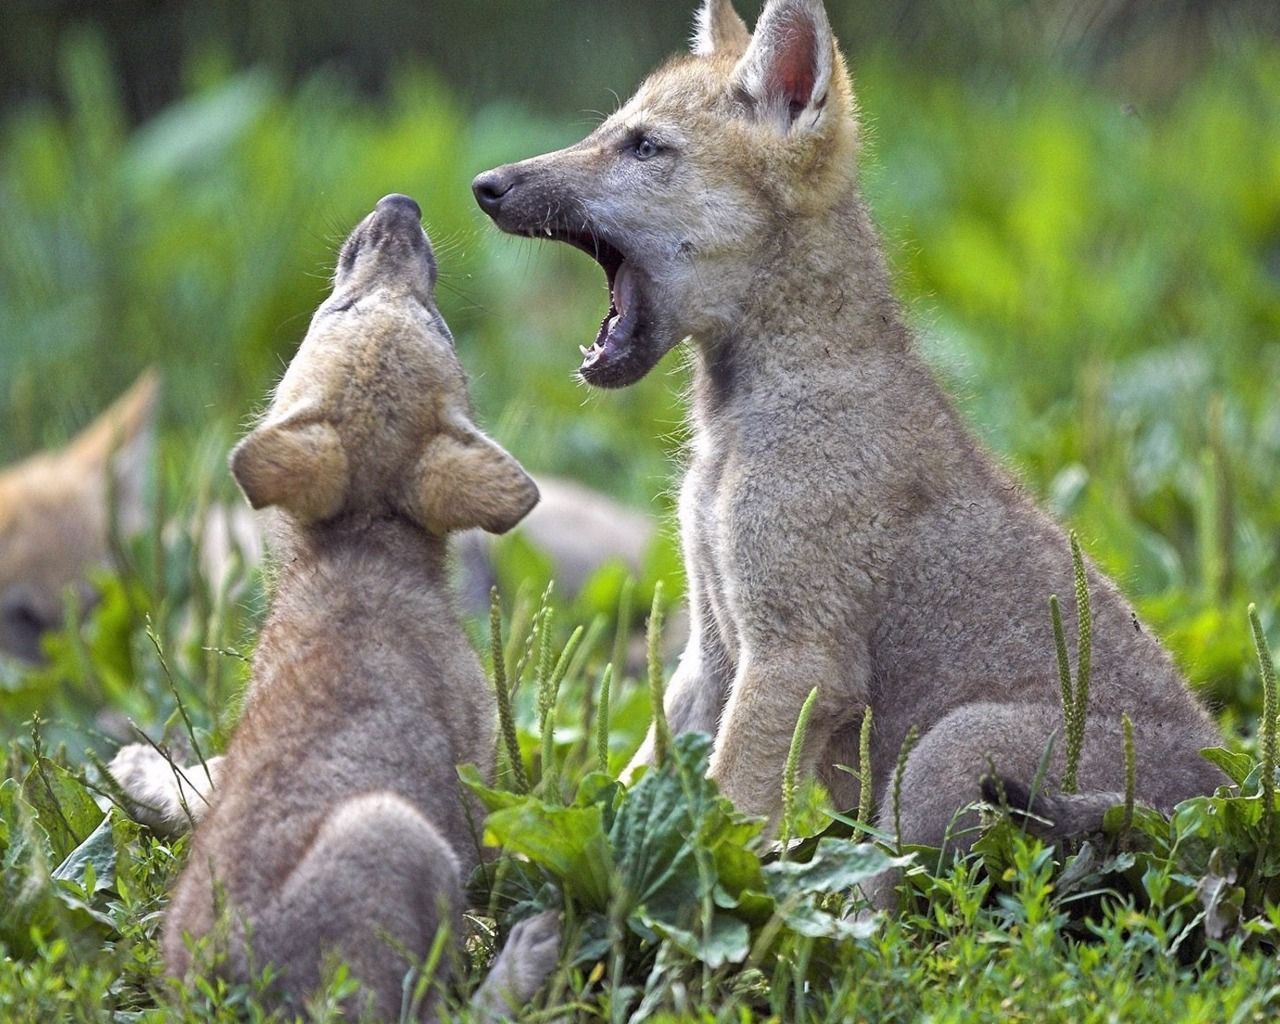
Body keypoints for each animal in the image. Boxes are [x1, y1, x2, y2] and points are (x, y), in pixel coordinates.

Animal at [115, 194, 559, 1020]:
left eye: (432, 318)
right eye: (340, 307)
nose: (399, 207)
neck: (363, 542)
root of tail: (232, 993)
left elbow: (205, 777)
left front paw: (141, 771)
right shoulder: (479, 779)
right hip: (399, 839)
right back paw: (528, 956)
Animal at [472, 0, 1223, 905]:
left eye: (645, 146)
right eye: (610, 130)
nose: (485, 186)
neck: (736, 431)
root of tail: (1218, 805)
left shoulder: (797, 659)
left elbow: (722, 815)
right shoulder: (711, 651)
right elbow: (639, 782)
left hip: (946, 752)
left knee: (900, 895)